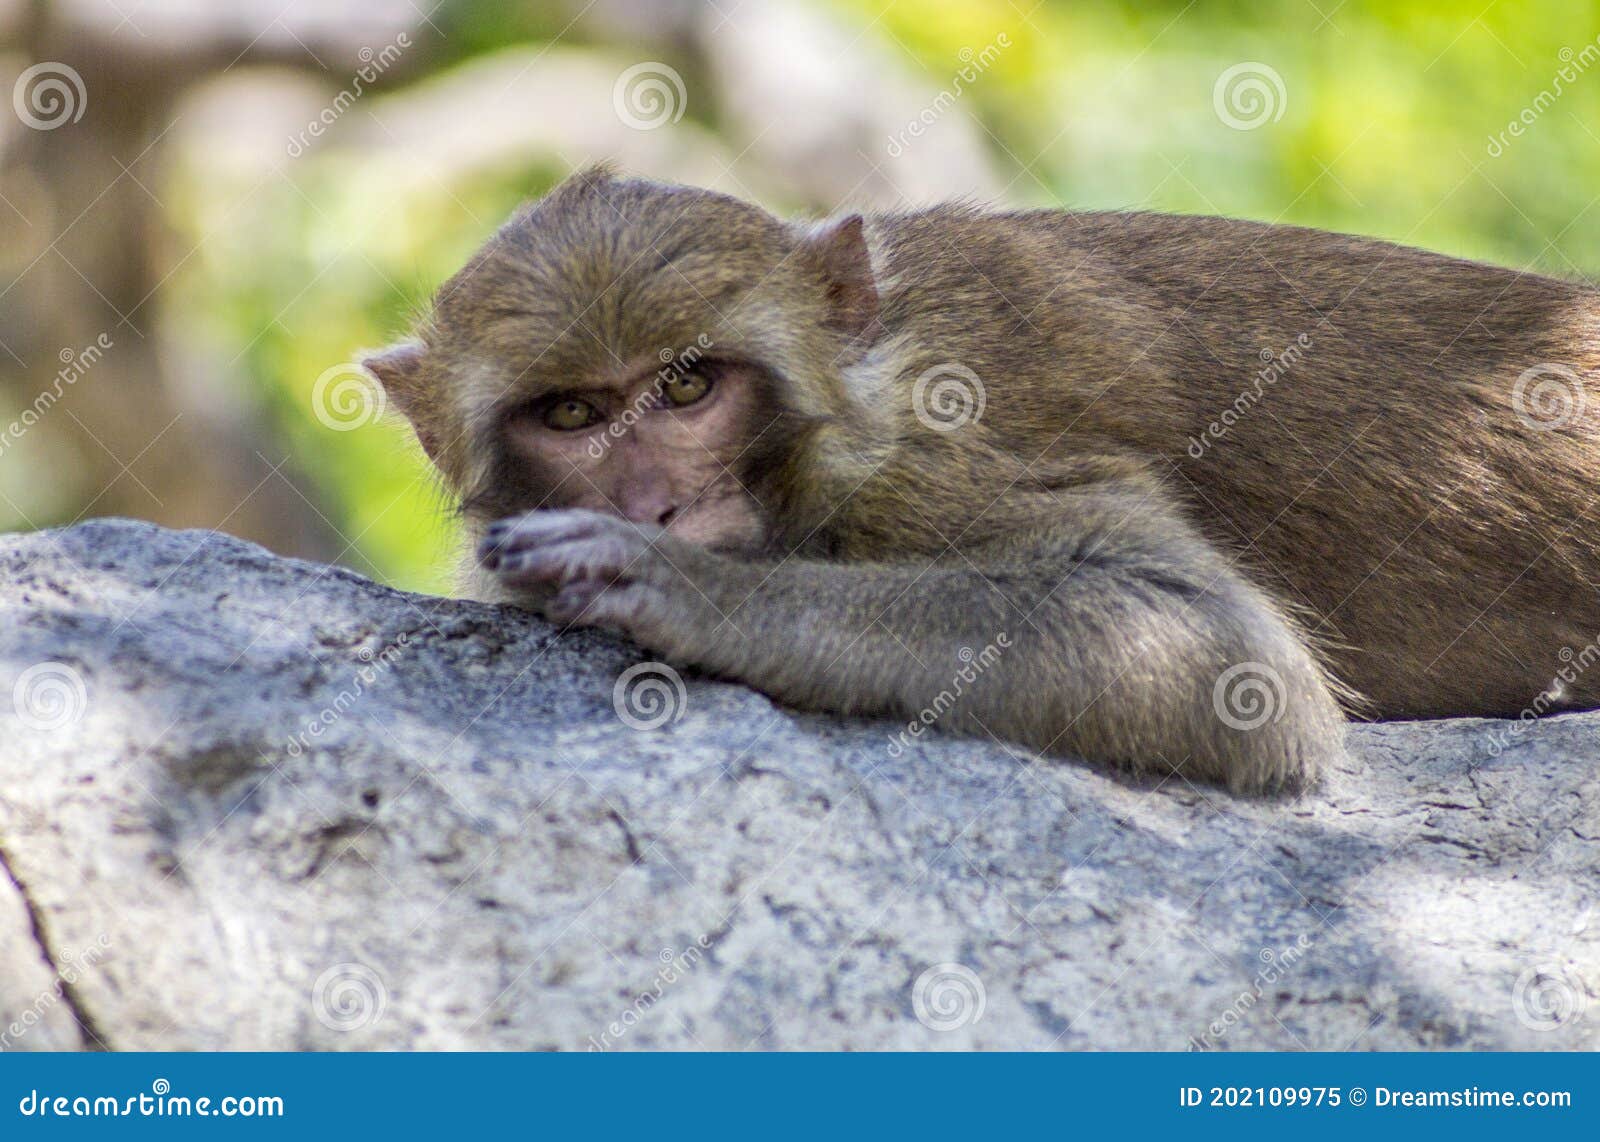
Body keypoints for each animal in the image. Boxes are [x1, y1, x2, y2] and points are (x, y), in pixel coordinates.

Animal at [361, 166, 1600, 794]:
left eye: (686, 384)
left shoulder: (934, 460)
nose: (653, 502)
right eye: (571, 413)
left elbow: (1230, 660)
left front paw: (673, 582)